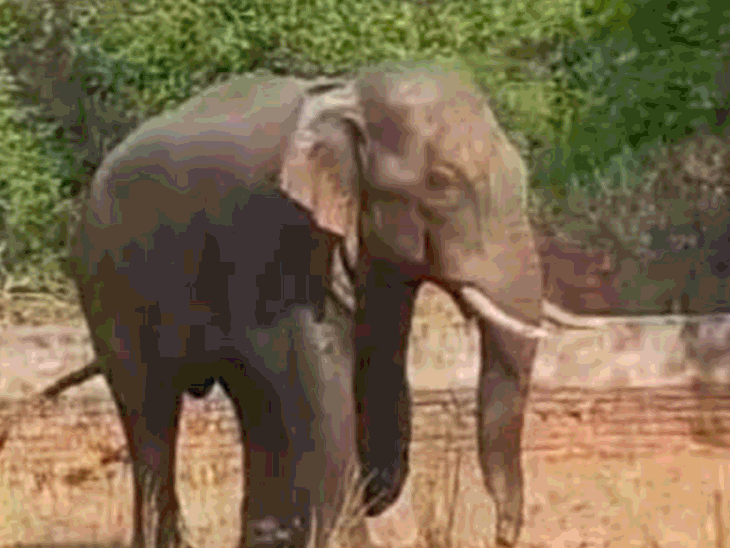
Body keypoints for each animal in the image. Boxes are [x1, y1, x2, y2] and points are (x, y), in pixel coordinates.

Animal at [65, 60, 548, 548]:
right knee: (150, 410)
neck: (347, 95)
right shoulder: (278, 239)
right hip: (108, 284)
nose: (501, 534)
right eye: (442, 183)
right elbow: (316, 372)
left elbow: (374, 362)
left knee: (251, 405)